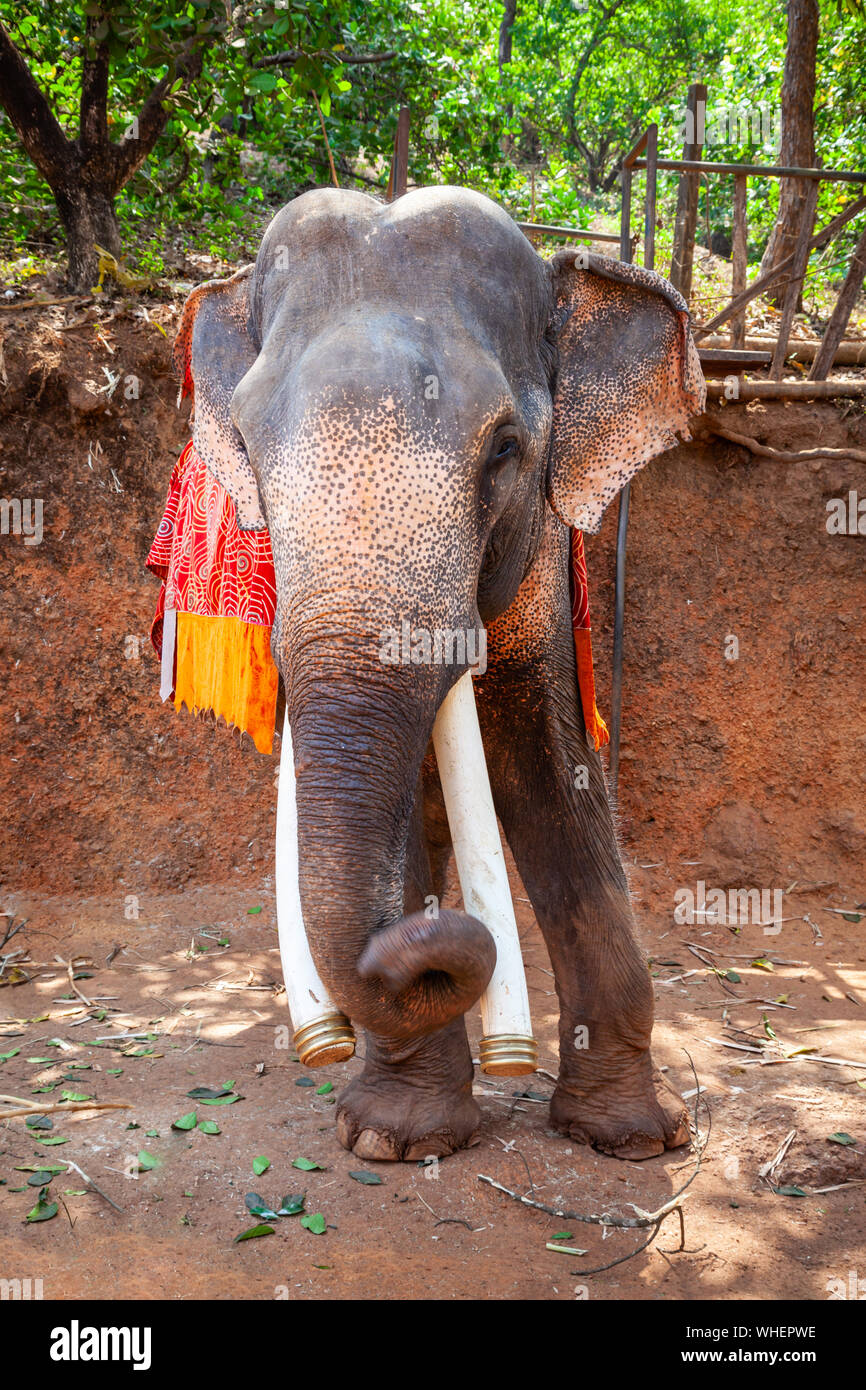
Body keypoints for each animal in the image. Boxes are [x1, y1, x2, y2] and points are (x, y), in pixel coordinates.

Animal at [174, 184, 705, 1163]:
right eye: (249, 452)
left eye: (505, 449)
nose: (416, 943)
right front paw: (397, 1137)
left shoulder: (541, 550)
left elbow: (550, 764)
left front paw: (633, 1139)